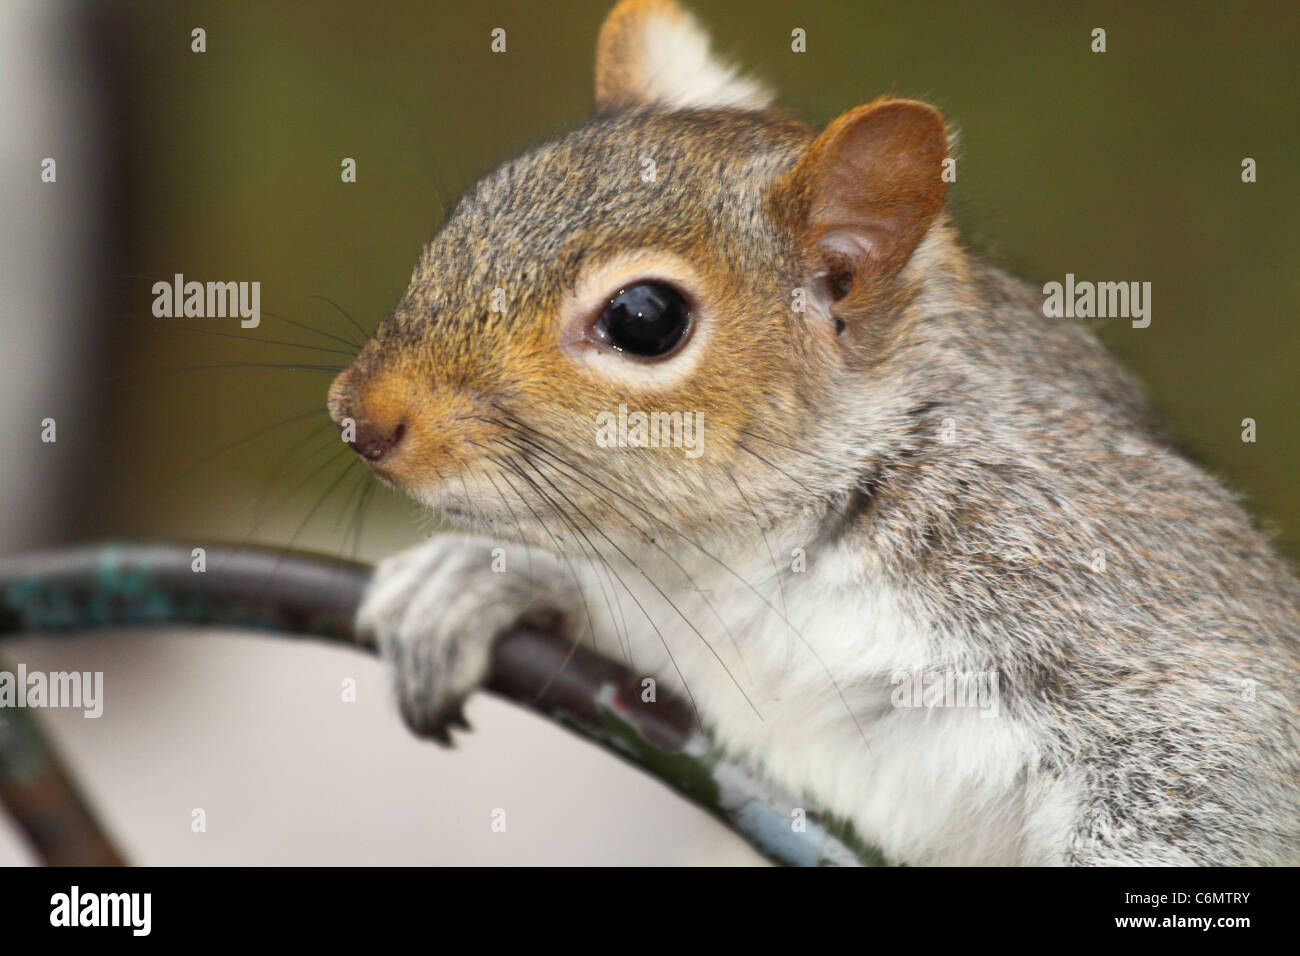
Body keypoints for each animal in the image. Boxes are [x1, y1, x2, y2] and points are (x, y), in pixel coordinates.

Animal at [326, 0, 1300, 865]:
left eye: (645, 318)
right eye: (468, 216)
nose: (360, 417)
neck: (736, 561)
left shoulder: (1097, 575)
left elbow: (1216, 765)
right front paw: (464, 585)